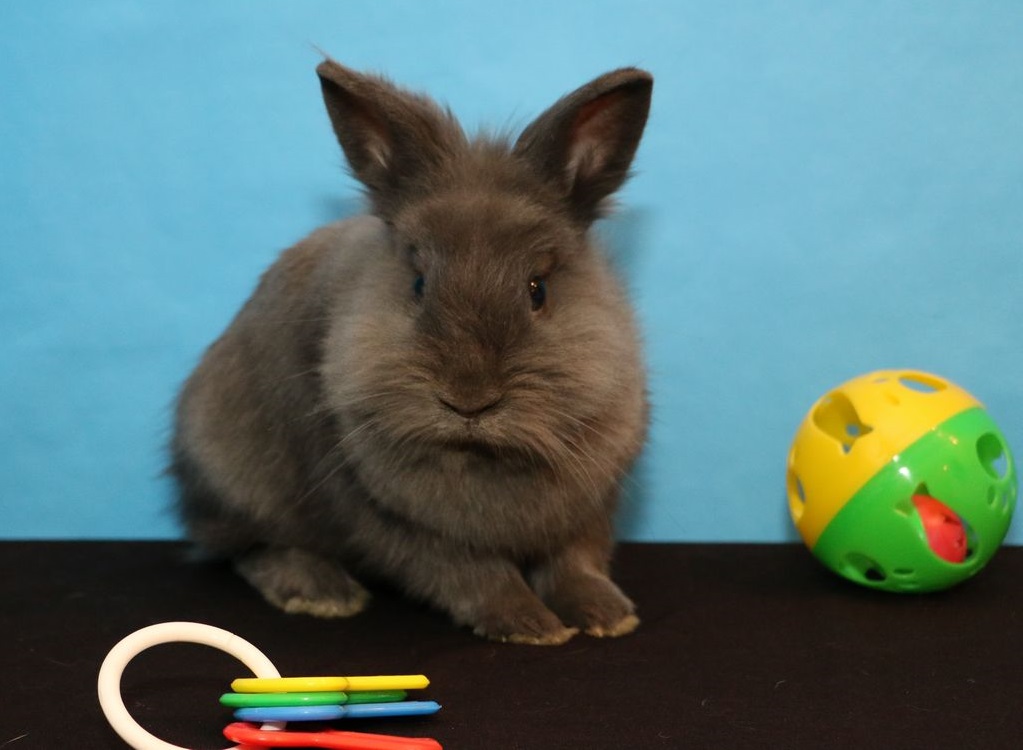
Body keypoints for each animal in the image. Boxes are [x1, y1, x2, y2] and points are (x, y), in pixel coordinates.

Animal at [170, 58, 653, 645]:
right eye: (419, 283)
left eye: (537, 289)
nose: (469, 400)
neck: (483, 458)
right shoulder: (397, 521)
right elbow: (471, 573)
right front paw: (529, 625)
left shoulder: (589, 505)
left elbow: (576, 562)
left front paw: (609, 614)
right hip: (234, 477)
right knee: (249, 547)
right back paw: (322, 592)